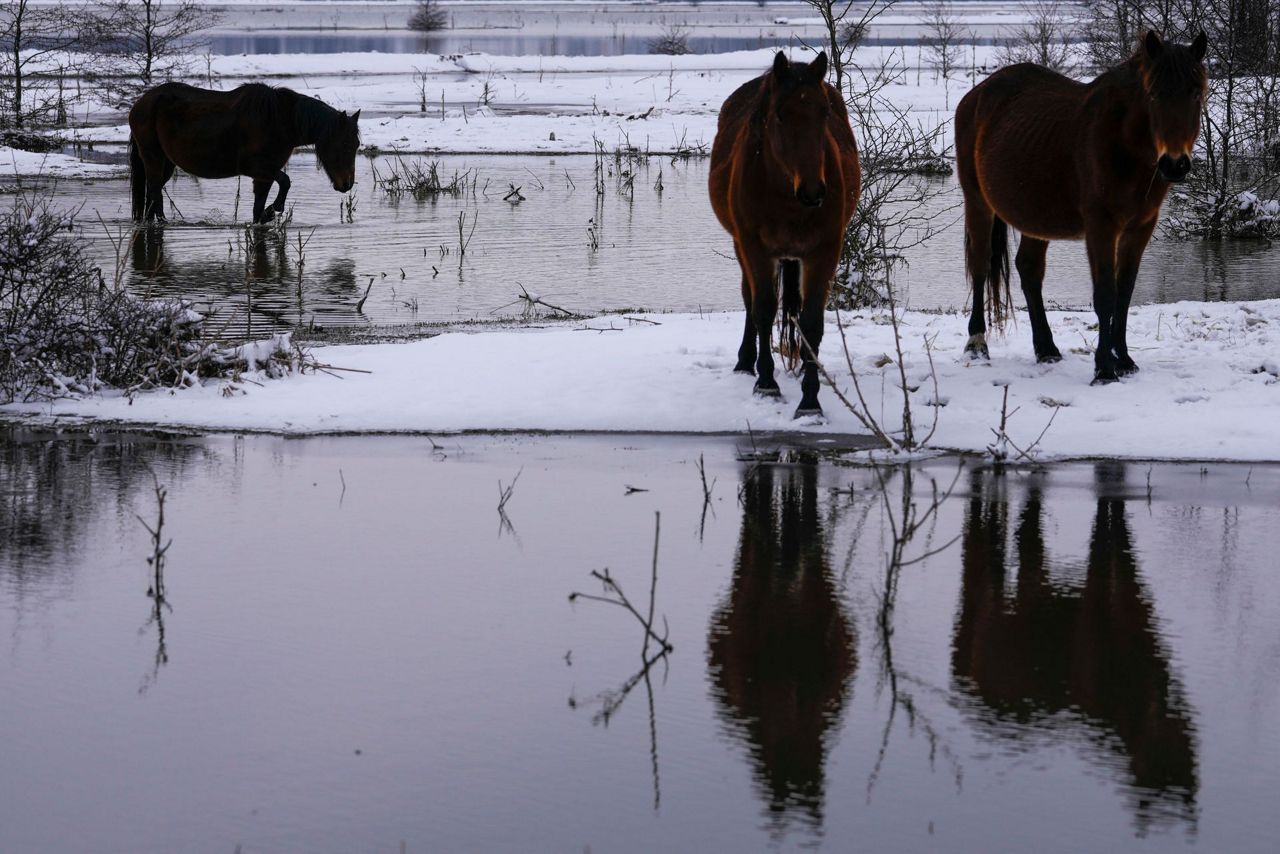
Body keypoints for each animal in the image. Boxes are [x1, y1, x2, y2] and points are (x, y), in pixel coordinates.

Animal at [128, 82, 361, 225]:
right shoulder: (256, 167)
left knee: (151, 195)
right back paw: (163, 221)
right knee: (155, 191)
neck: (278, 120)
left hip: (167, 162)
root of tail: (140, 103)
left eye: (357, 145)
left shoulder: (264, 176)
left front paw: (265, 214)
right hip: (153, 157)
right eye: (345, 145)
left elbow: (259, 207)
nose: (346, 184)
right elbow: (286, 181)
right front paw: (273, 210)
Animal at [710, 51, 861, 418]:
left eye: (825, 112)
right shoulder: (755, 248)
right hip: (742, 247)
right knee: (749, 299)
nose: (813, 191)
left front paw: (810, 401)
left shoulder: (824, 252)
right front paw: (766, 384)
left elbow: (811, 323)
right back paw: (745, 363)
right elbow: (763, 309)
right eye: (780, 114)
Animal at [956, 31, 1207, 384]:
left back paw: (1046, 349)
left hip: (1037, 217)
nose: (1175, 164)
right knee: (980, 265)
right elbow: (1105, 294)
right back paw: (977, 345)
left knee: (1029, 269)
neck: (1123, 146)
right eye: (1154, 94)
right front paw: (1104, 369)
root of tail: (976, 95)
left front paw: (1124, 360)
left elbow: (1124, 292)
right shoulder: (1101, 227)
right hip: (978, 202)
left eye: (1196, 92)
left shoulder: (1139, 228)